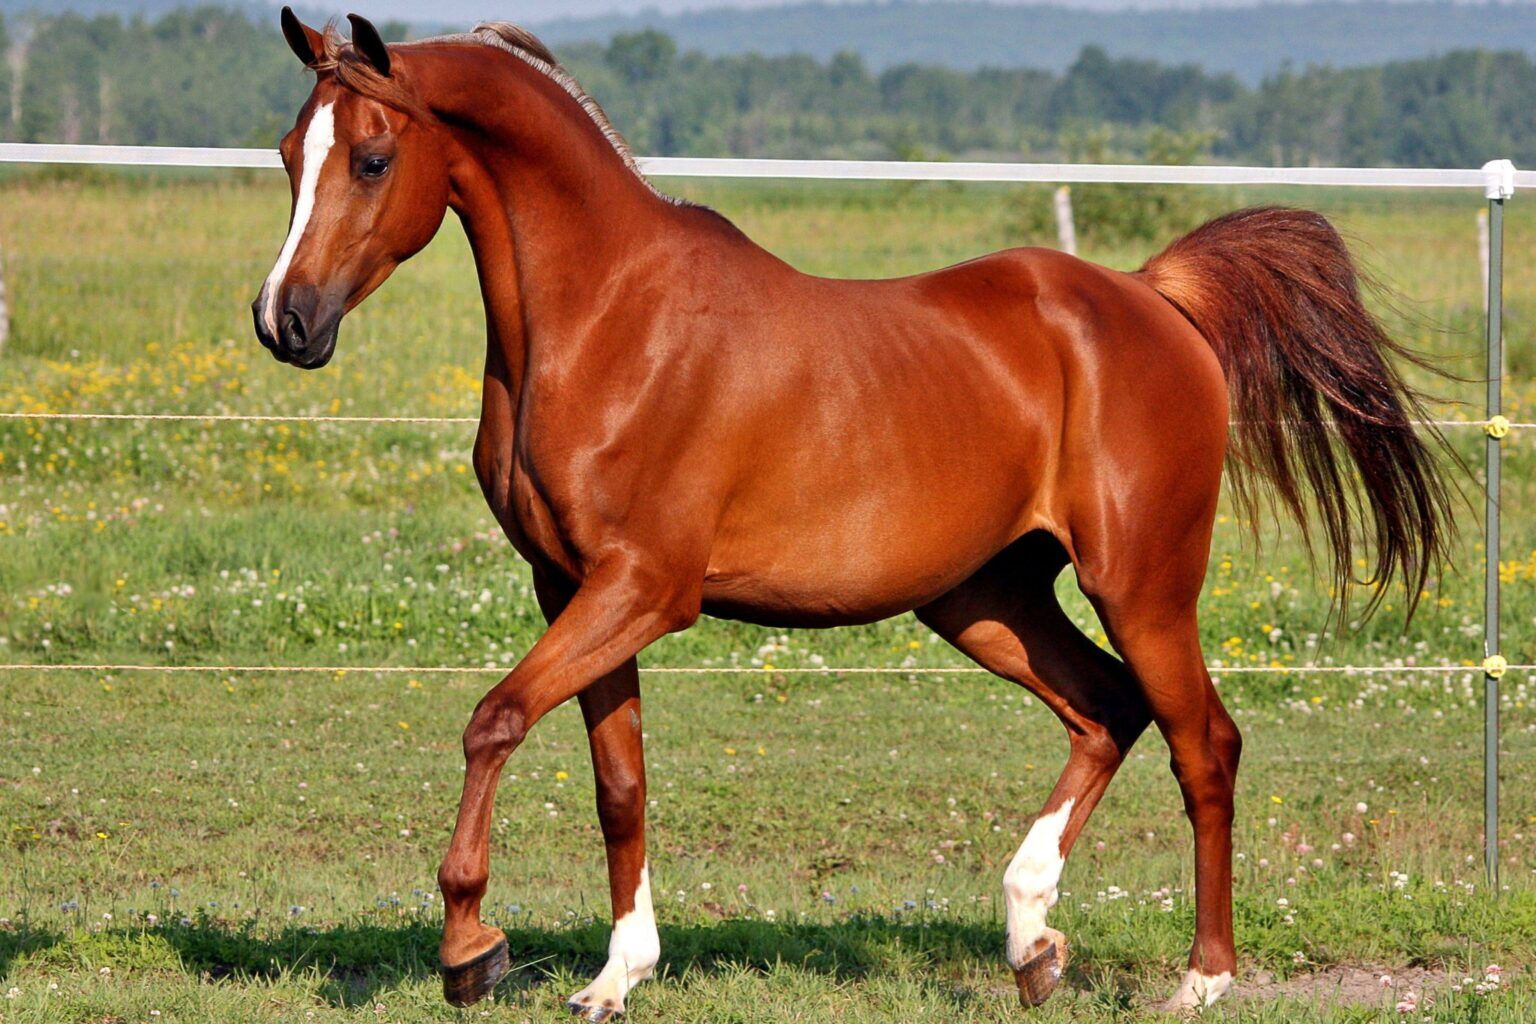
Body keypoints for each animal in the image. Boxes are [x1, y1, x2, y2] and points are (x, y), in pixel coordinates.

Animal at [254, 10, 1451, 1018]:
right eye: (286, 153)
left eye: (372, 158)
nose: (285, 322)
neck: (608, 319)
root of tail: (1153, 298)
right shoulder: (574, 589)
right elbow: (619, 784)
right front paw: (615, 976)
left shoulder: (644, 588)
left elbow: (494, 719)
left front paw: (470, 948)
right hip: (984, 598)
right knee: (1106, 708)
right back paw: (1031, 940)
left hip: (1143, 585)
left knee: (1203, 743)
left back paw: (1203, 978)